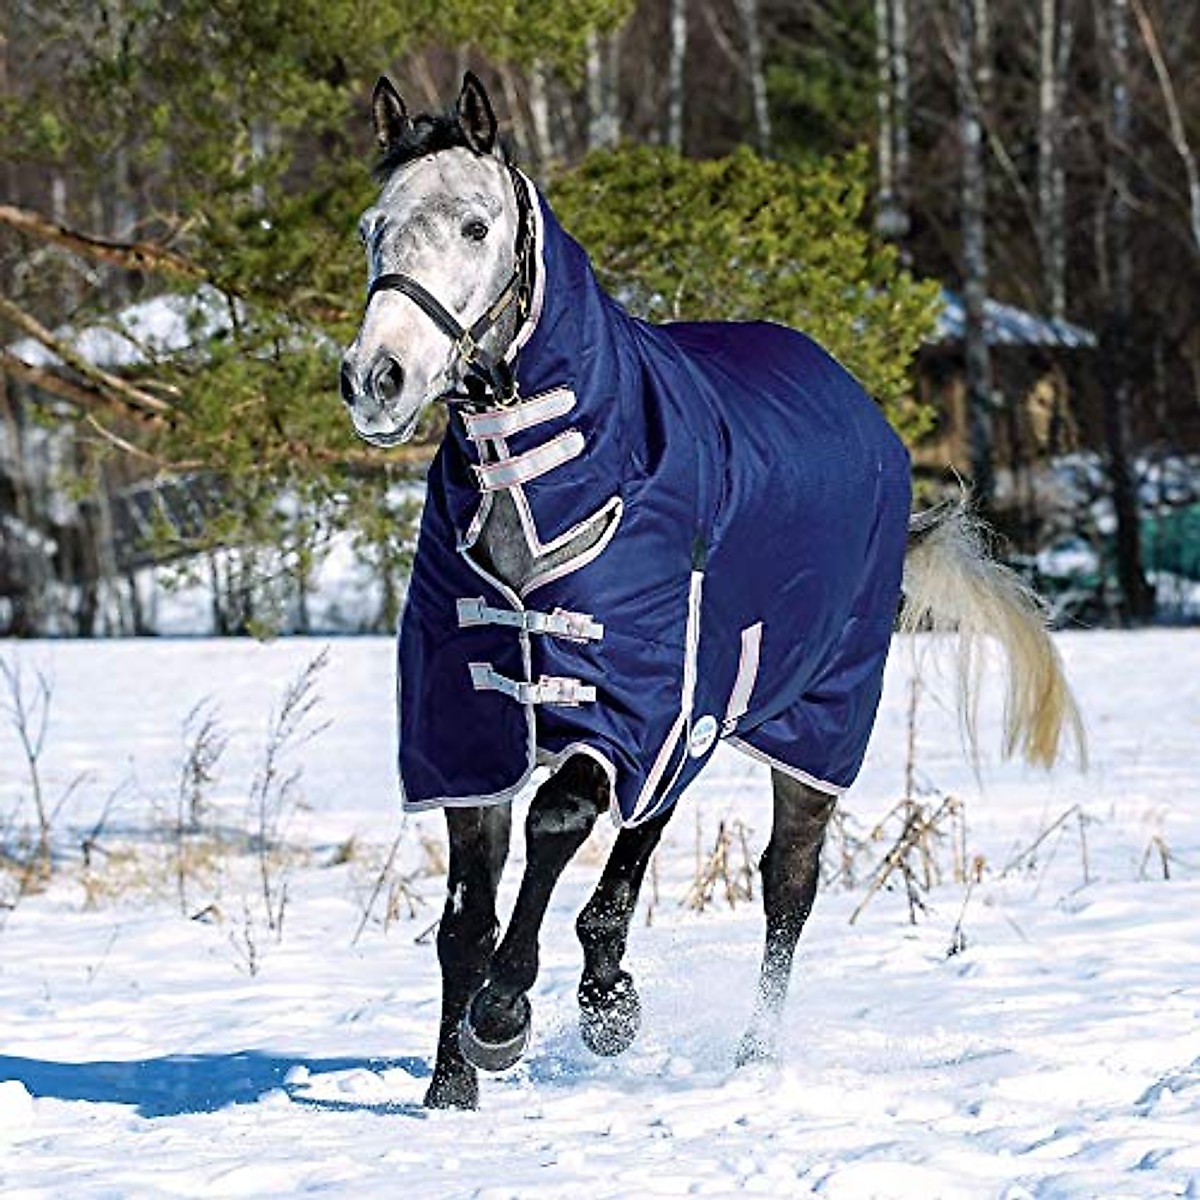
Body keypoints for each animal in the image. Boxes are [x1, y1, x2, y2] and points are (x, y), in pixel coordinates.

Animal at [339, 72, 1083, 1111]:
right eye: (374, 227)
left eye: (476, 226)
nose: (378, 378)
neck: (542, 480)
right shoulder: (473, 724)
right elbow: (464, 912)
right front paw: (452, 1091)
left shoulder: (633, 698)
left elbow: (558, 818)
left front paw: (503, 1018)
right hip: (705, 704)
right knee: (647, 834)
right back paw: (608, 992)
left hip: (810, 721)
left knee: (787, 882)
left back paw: (749, 1054)